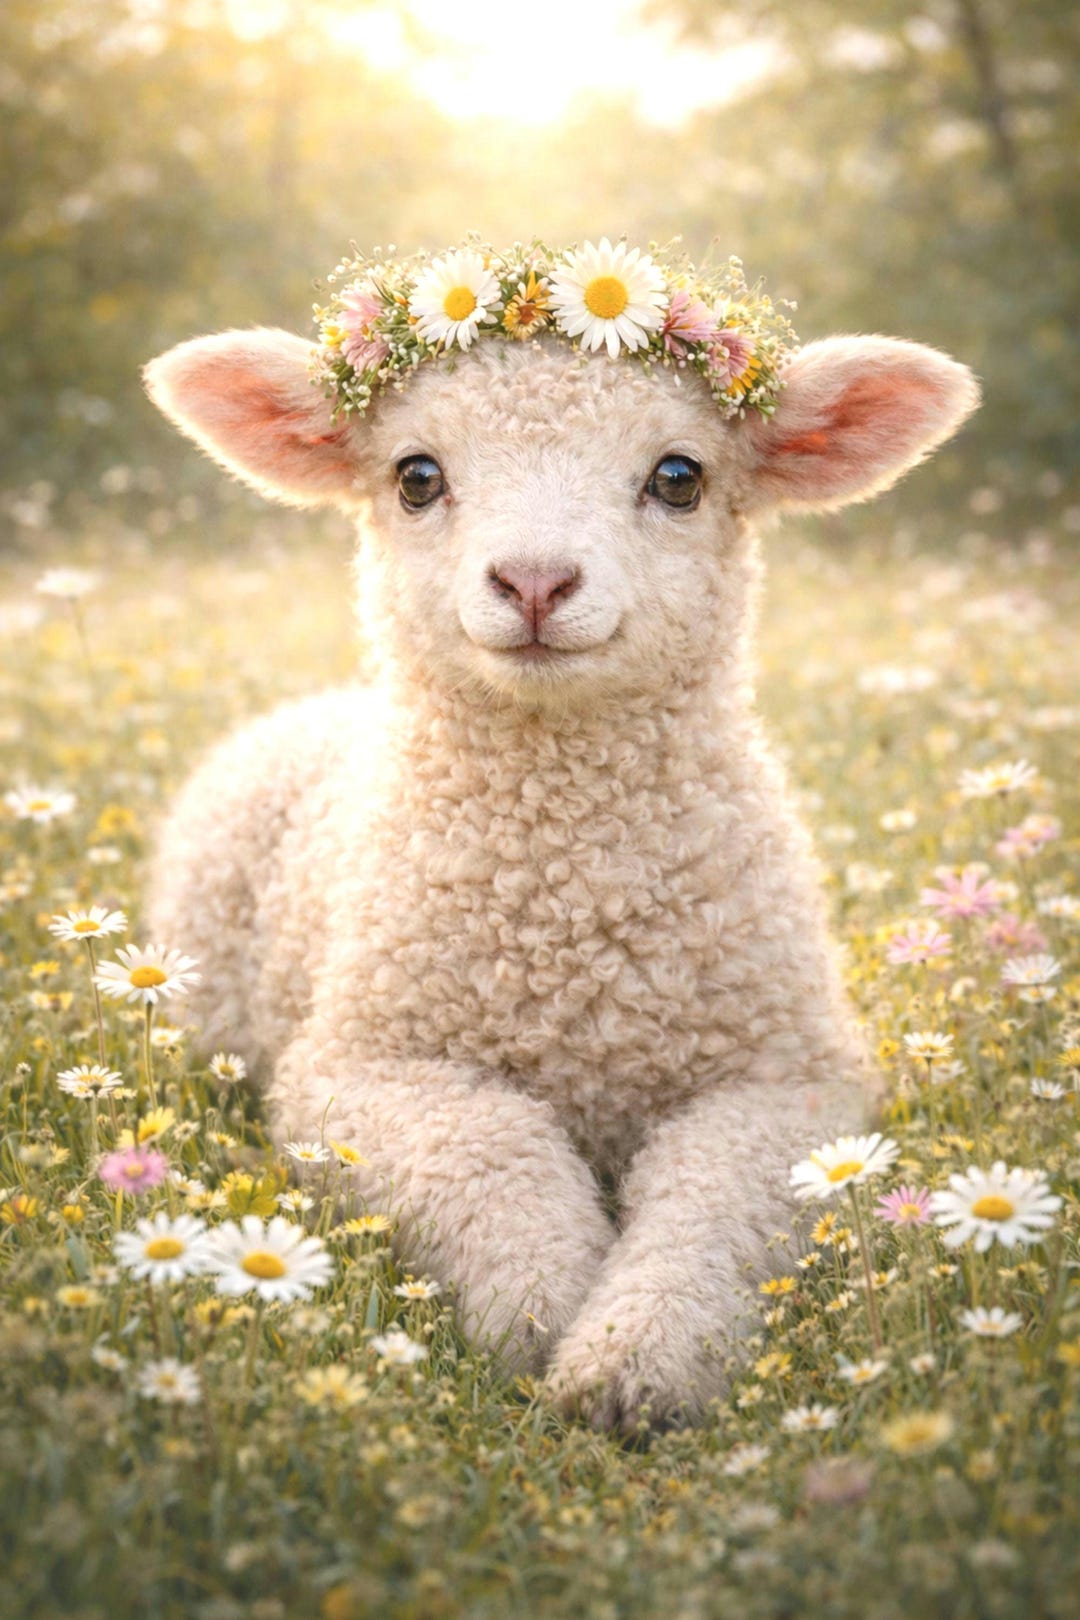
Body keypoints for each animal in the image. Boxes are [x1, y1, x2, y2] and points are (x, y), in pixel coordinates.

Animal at [144, 317, 978, 1429]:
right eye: (416, 476)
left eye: (679, 477)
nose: (534, 582)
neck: (571, 910)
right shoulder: (355, 1068)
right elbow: (490, 1145)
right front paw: (543, 1308)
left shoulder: (794, 1084)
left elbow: (715, 1196)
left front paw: (636, 1359)